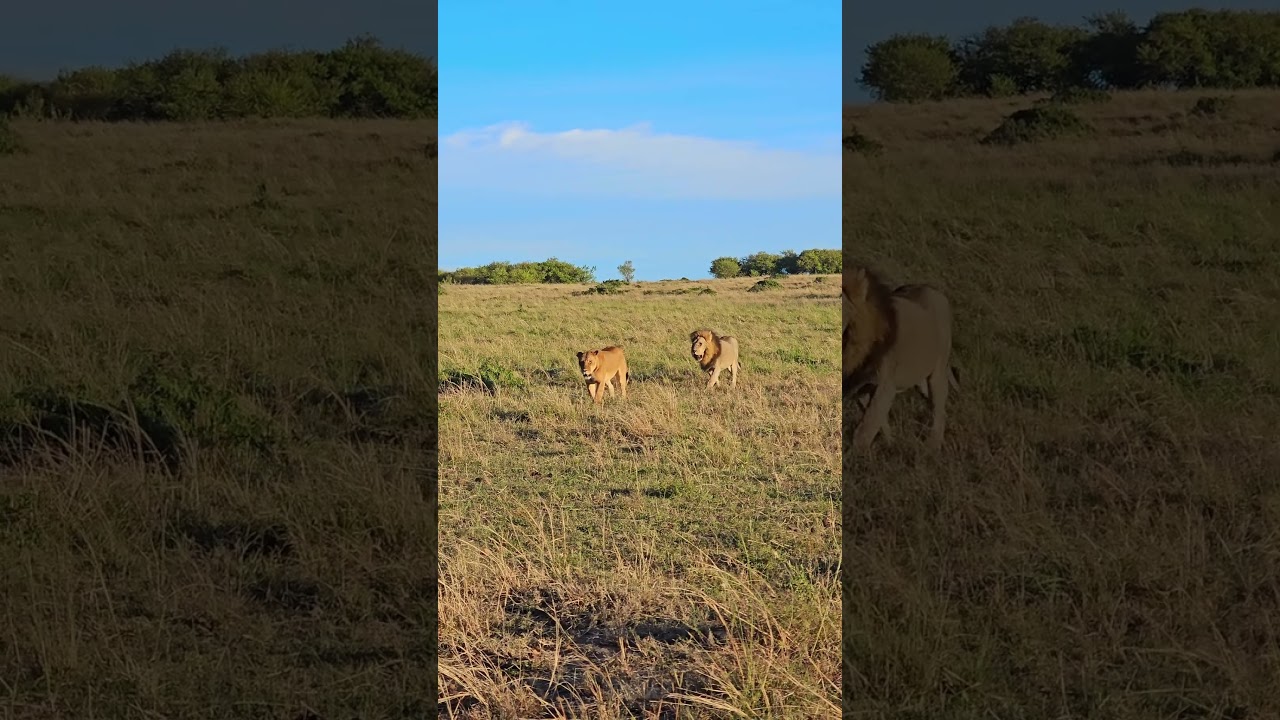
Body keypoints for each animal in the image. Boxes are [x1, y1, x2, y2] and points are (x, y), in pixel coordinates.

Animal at [843, 265, 960, 450]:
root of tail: (936, 292)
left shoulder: (886, 385)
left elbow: (864, 432)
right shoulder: (859, 386)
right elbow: (876, 420)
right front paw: (890, 441)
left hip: (938, 369)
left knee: (939, 409)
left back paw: (932, 447)